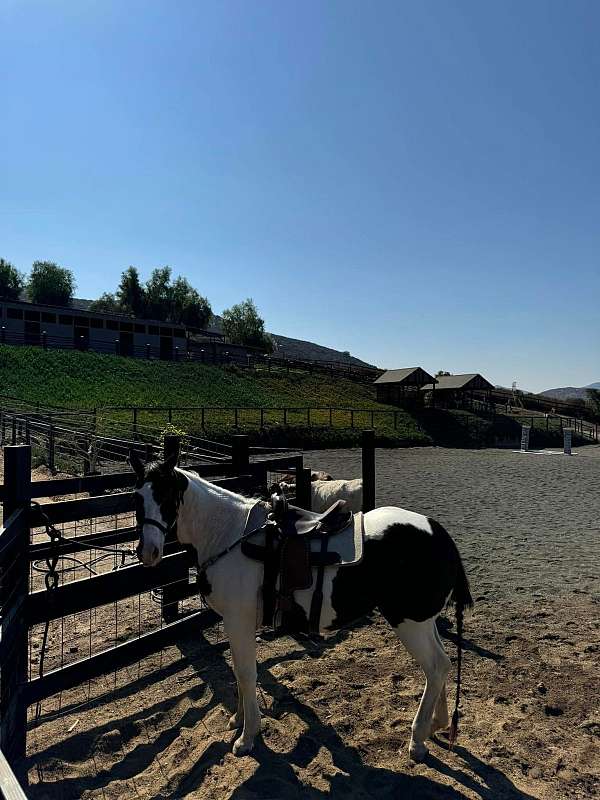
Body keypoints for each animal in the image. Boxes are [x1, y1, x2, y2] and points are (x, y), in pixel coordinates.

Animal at [130, 451, 473, 762]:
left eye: (165, 495)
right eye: (137, 497)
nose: (148, 552)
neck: (229, 534)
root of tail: (439, 535)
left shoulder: (238, 620)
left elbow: (245, 673)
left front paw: (247, 736)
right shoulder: (235, 623)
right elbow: (240, 670)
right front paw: (238, 720)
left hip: (408, 620)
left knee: (435, 667)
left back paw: (417, 740)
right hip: (424, 620)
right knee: (443, 663)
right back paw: (437, 724)